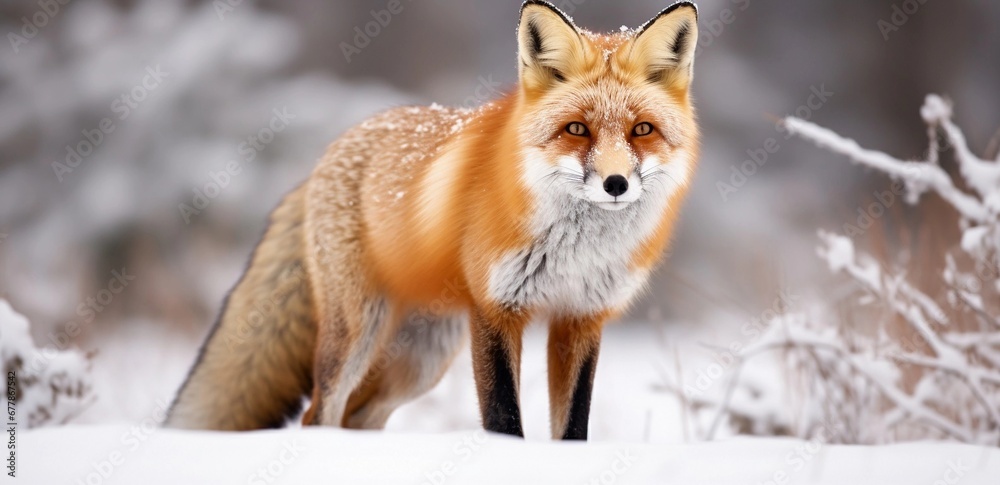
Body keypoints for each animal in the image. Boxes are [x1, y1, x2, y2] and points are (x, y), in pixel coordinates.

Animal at [166, 0, 700, 440]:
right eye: (577, 129)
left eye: (642, 130)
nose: (616, 183)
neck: (578, 250)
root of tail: (327, 155)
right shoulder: (496, 308)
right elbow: (503, 419)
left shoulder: (582, 318)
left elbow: (572, 428)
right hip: (359, 332)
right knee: (319, 414)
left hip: (420, 359)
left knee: (359, 418)